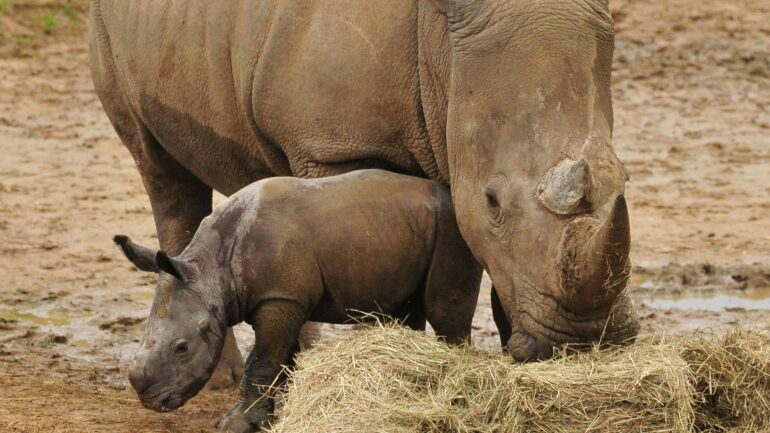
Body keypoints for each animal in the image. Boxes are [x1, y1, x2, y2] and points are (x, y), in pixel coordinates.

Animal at [90, 0, 638, 391]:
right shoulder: (334, 144)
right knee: (161, 170)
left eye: (624, 183)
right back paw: (224, 381)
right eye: (491, 201)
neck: (445, 50)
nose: (582, 340)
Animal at [114, 170, 483, 432]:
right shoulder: (277, 300)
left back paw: (457, 396)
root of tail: (452, 195)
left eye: (182, 348)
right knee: (408, 310)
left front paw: (235, 424)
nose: (151, 400)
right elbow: (280, 359)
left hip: (452, 229)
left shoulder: (280, 297)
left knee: (446, 311)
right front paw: (271, 417)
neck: (209, 270)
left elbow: (263, 360)